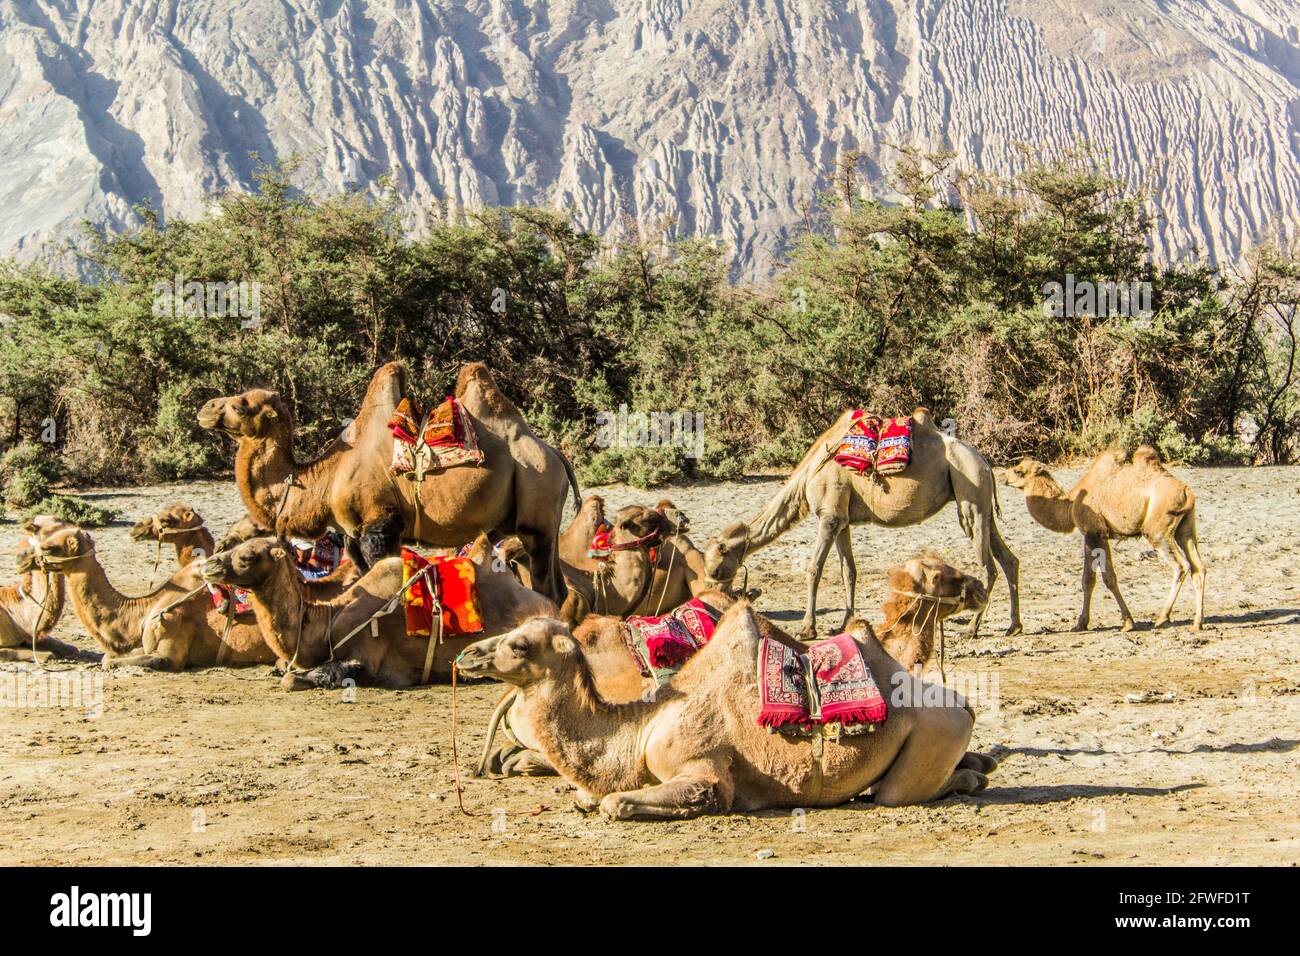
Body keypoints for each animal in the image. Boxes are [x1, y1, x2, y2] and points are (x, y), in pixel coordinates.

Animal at [197, 362, 580, 602]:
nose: (206, 407)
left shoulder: (379, 525)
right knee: (559, 585)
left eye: (242, 405)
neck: (328, 477)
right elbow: (366, 574)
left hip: (536, 500)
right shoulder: (353, 532)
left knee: (546, 585)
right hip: (545, 518)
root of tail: (556, 456)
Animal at [456, 601, 995, 818]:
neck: (640, 726)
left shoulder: (704, 768)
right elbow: (591, 798)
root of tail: (964, 704)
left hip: (930, 737)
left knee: (896, 792)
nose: (466, 655)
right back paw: (982, 764)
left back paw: (972, 776)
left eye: (520, 645)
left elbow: (617, 803)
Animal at [703, 408, 1021, 640]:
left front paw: (807, 629)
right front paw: (844, 623)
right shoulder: (842, 521)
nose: (710, 582)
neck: (809, 476)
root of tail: (985, 462)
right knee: (1009, 559)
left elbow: (814, 569)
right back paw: (1013, 626)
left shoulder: (829, 516)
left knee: (988, 566)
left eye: (719, 555)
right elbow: (849, 572)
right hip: (981, 504)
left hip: (970, 497)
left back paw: (972, 629)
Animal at [1001, 446, 1205, 631]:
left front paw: (1119, 623)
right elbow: (1098, 578)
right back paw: (1197, 623)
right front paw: (1090, 623)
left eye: (1018, 470)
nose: (1002, 476)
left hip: (1158, 532)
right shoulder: (1100, 534)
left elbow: (1098, 578)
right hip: (1185, 530)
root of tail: (1188, 492)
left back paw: (1163, 617)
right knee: (1199, 568)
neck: (1070, 503)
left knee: (1181, 566)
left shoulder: (1093, 532)